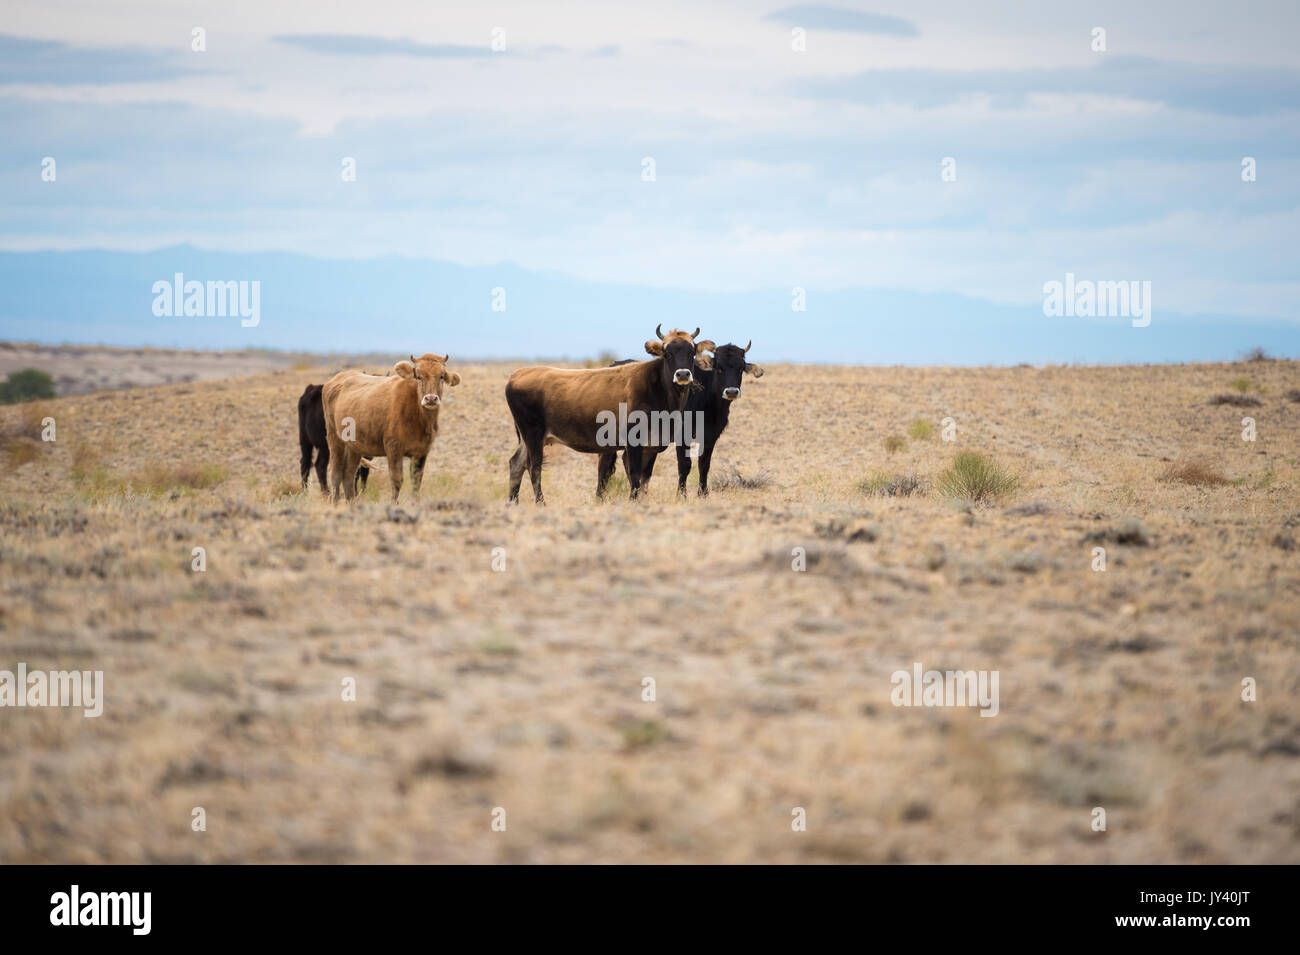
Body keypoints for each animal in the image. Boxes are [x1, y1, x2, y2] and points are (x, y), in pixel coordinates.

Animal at [322, 353, 461, 503]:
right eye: (418, 376)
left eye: (441, 376)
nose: (430, 399)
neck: (419, 418)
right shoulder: (393, 448)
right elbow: (397, 480)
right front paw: (394, 503)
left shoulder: (422, 452)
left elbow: (416, 482)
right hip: (334, 438)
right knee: (336, 473)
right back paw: (335, 503)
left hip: (354, 446)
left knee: (348, 474)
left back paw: (352, 503)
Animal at [504, 326, 713, 503]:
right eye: (667, 353)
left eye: (691, 352)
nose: (683, 374)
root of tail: (516, 375)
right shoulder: (633, 442)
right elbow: (635, 473)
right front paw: (634, 501)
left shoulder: (652, 444)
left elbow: (645, 477)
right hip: (533, 435)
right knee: (534, 468)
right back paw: (540, 503)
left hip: (527, 438)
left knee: (516, 464)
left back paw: (513, 502)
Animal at [602, 340, 763, 496]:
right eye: (719, 368)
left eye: (740, 368)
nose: (731, 392)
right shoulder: (682, 437)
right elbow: (685, 465)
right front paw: (681, 495)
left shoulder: (710, 437)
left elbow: (704, 465)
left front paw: (703, 494)